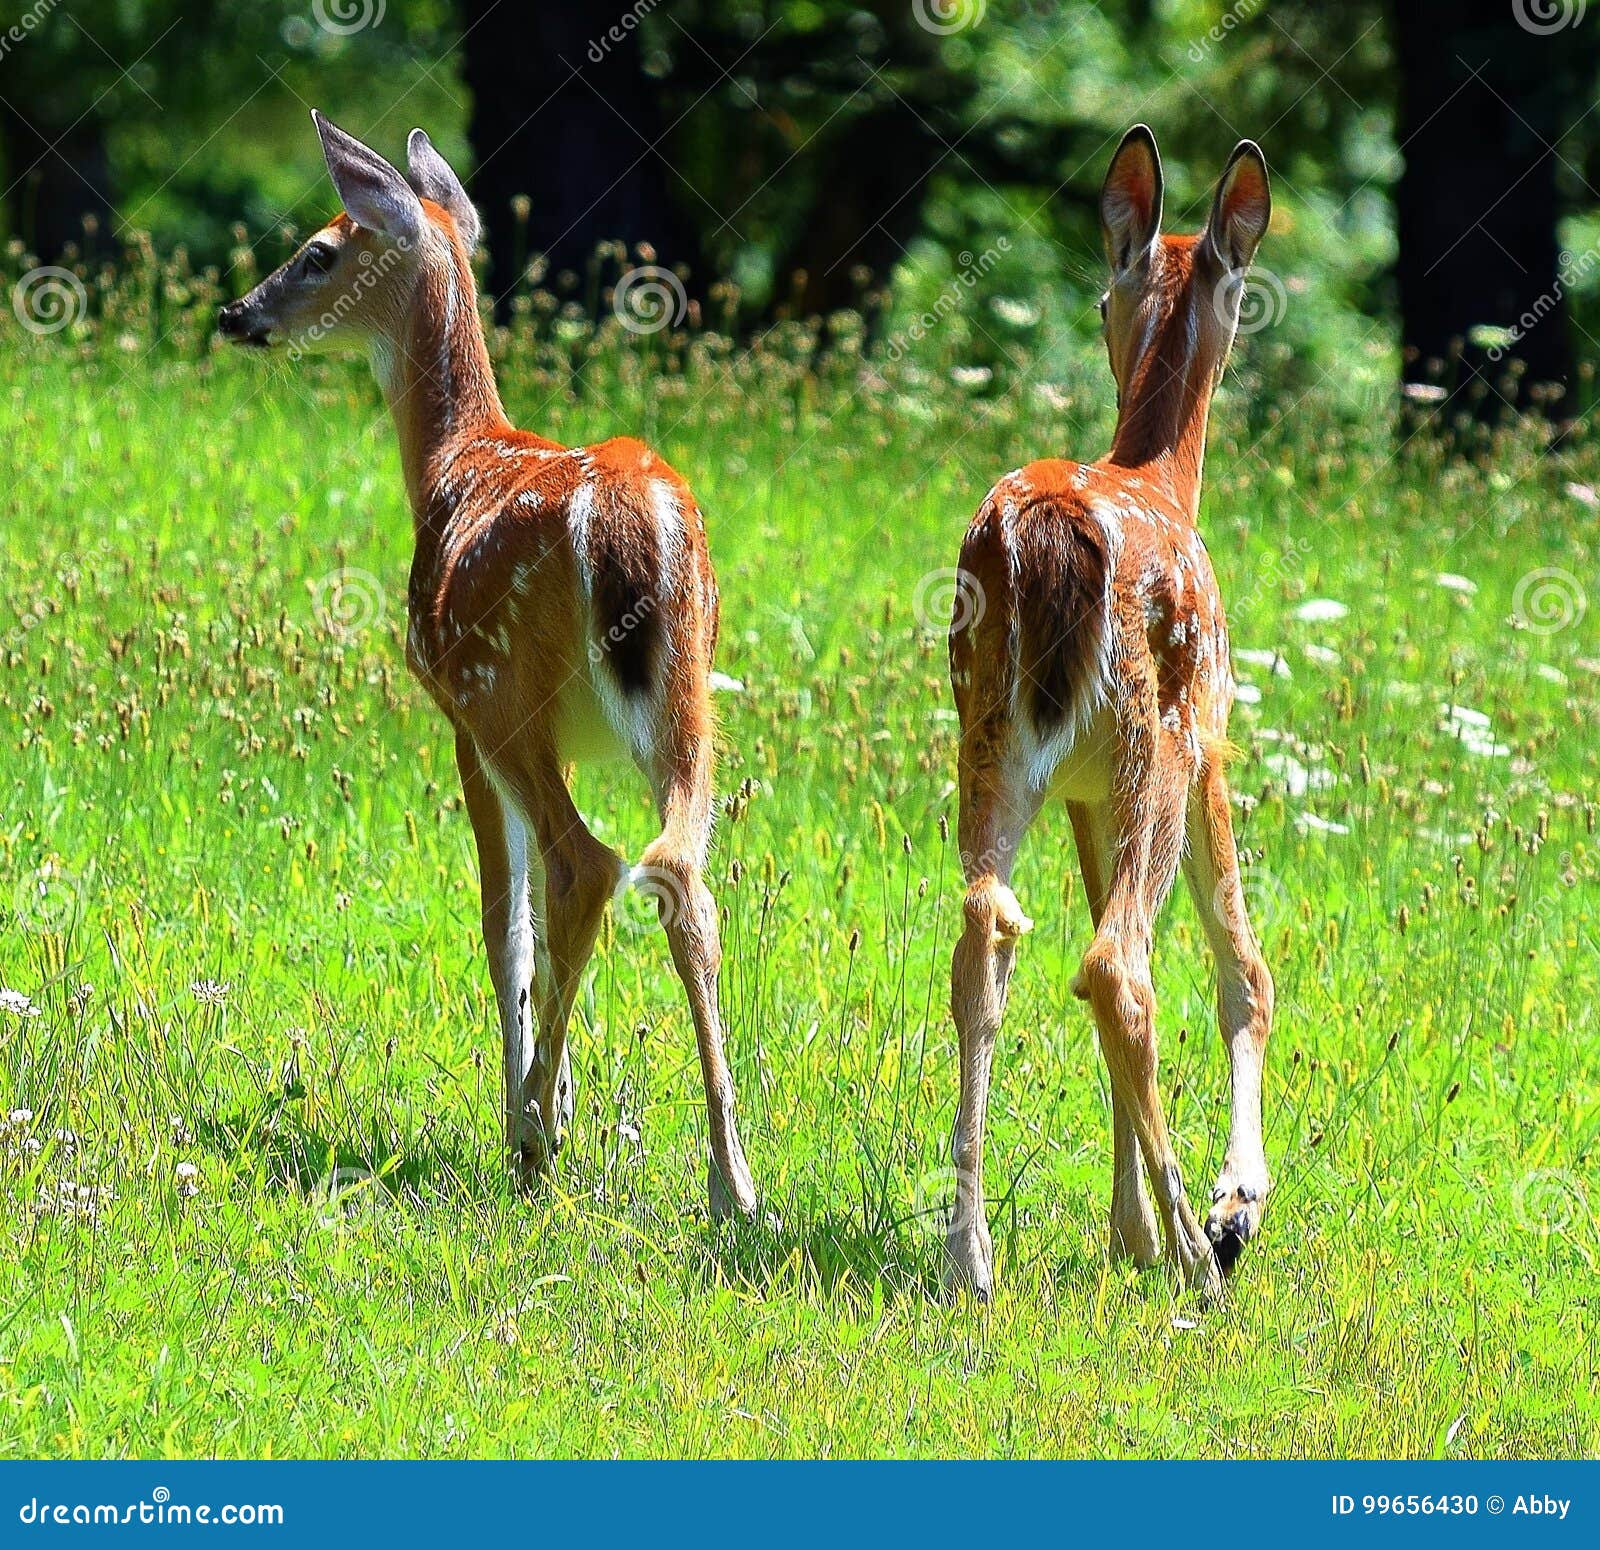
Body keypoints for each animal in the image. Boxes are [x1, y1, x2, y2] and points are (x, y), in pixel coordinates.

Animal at [217, 111, 757, 1220]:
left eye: (319, 250)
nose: (236, 312)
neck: (448, 465)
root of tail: (632, 520)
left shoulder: (456, 711)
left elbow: (501, 920)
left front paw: (539, 1107)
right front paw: (575, 1098)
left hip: (509, 689)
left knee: (587, 860)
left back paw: (533, 1136)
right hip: (686, 697)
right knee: (680, 872)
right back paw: (731, 1182)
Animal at [942, 126, 1275, 1300]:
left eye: (1100, 296)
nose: (1102, 325)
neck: (1162, 476)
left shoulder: (1086, 791)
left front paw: (1127, 1225)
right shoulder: (1212, 733)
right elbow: (1243, 970)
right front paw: (1229, 1202)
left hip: (993, 733)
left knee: (990, 933)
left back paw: (970, 1251)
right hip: (1153, 736)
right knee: (1116, 965)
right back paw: (1200, 1258)